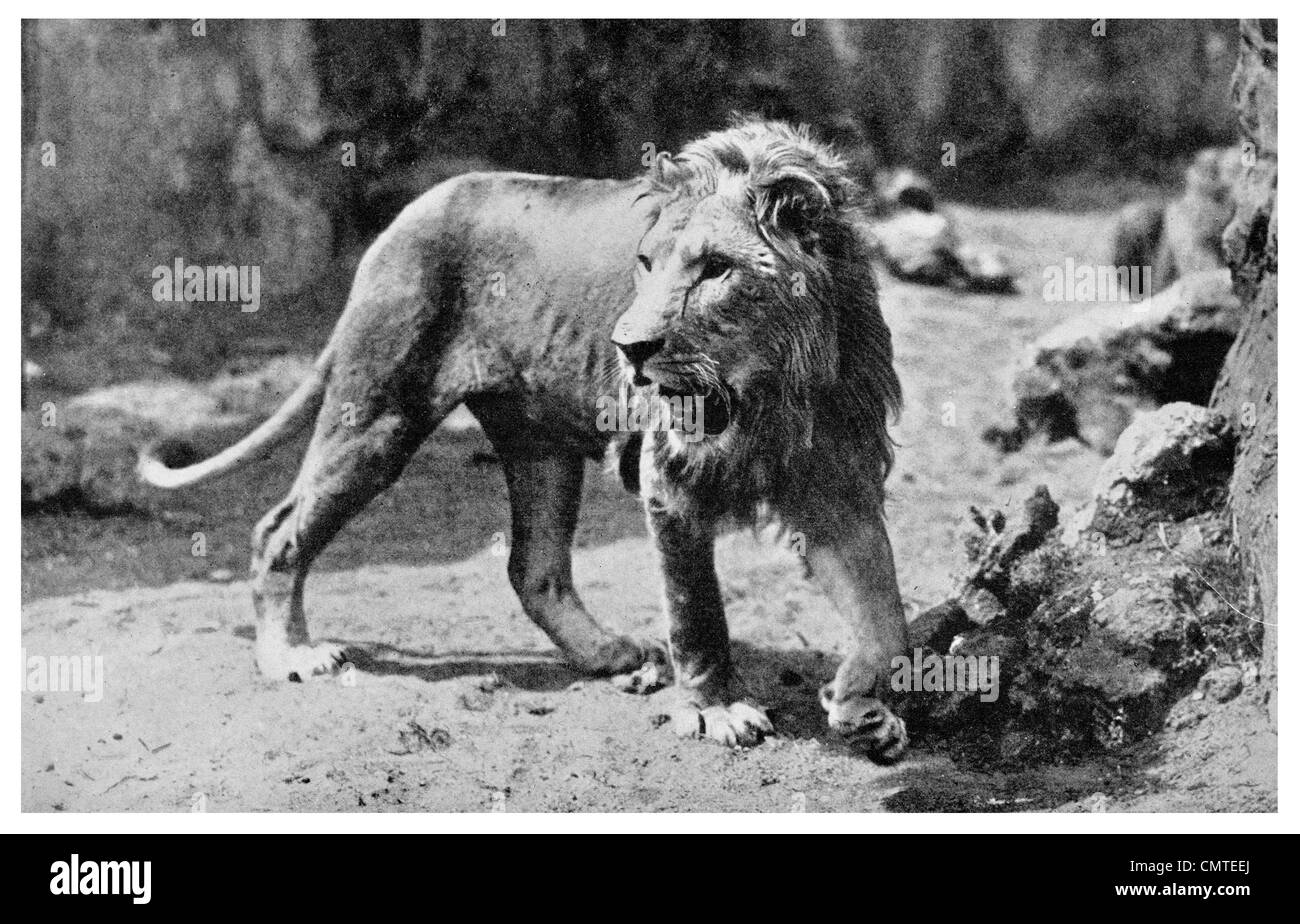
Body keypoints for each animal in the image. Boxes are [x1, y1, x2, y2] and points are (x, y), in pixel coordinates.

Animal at [139, 118, 910, 762]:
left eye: (717, 267)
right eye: (646, 263)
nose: (628, 347)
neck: (777, 385)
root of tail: (407, 214)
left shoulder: (841, 483)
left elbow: (886, 618)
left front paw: (860, 706)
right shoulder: (673, 483)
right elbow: (699, 615)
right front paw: (715, 711)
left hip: (541, 447)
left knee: (533, 568)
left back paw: (611, 656)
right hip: (378, 414)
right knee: (278, 529)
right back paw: (290, 656)